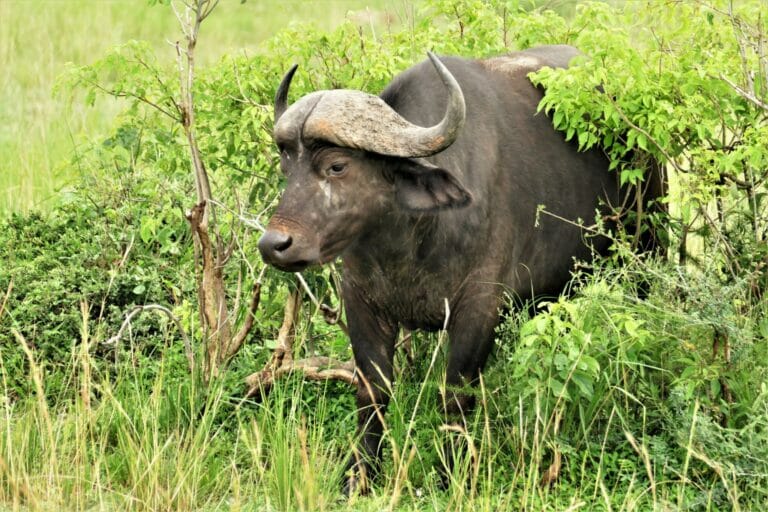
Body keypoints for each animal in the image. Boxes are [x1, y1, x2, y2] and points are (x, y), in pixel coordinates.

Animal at [258, 45, 662, 493]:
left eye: (337, 166)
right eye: (286, 168)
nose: (274, 245)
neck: (409, 240)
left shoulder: (478, 307)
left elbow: (455, 393)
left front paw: (452, 472)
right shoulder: (362, 304)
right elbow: (372, 391)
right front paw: (358, 474)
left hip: (647, 251)